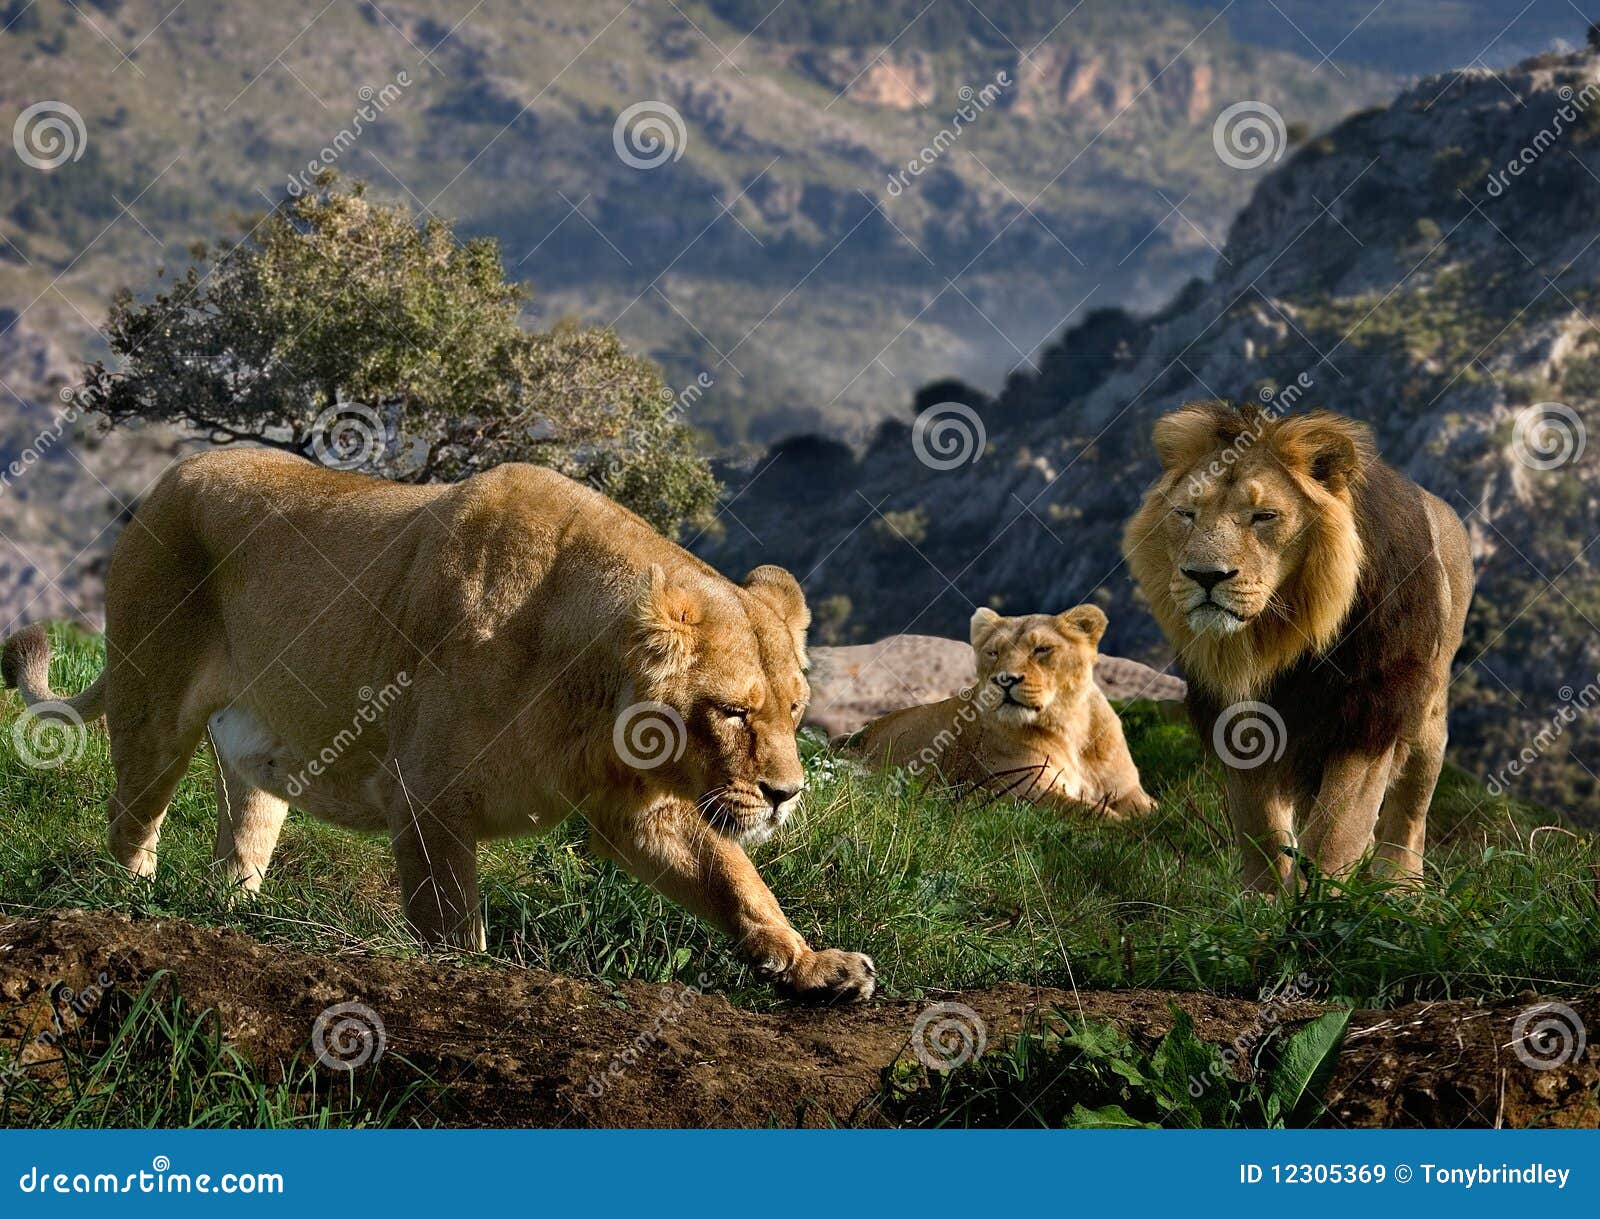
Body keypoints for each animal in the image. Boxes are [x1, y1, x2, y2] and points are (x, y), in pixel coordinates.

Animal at [2, 449, 875, 1003]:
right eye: (731, 710)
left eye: (795, 710)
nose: (787, 793)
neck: (590, 691)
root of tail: (165, 481)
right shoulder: (425, 795)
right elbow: (454, 922)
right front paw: (478, 982)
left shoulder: (638, 807)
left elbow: (737, 880)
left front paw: (815, 966)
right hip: (151, 704)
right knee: (129, 816)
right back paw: (129, 904)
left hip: (258, 749)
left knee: (240, 832)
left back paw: (241, 920)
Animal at [845, 605, 1156, 817]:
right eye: (993, 653)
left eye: (1041, 649)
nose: (1005, 679)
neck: (1071, 727)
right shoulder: (1016, 789)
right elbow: (1093, 813)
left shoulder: (1130, 791)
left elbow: (1155, 813)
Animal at [1122, 401, 1472, 890]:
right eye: (1186, 514)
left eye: (1264, 516)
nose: (1205, 576)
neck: (1285, 636)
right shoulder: (1238, 716)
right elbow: (1260, 827)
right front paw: (1264, 900)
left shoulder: (1370, 712)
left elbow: (1334, 830)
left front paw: (1318, 899)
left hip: (1427, 713)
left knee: (1410, 810)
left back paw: (1399, 886)